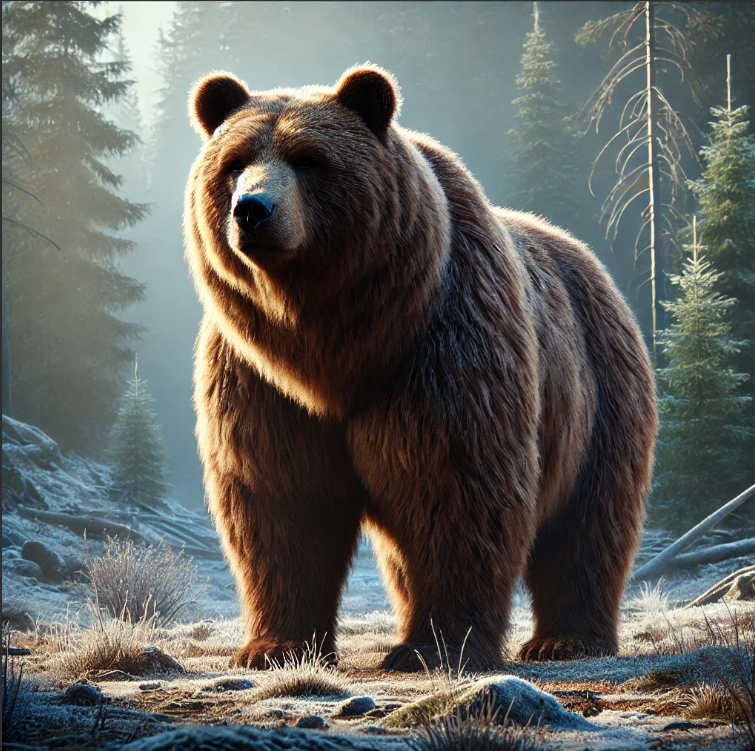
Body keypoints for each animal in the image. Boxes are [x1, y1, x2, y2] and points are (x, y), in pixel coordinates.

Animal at [184, 64, 657, 671]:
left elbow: (456, 487)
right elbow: (282, 504)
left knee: (587, 523)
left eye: (309, 158)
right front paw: (275, 648)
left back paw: (565, 639)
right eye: (235, 161)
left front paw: (436, 646)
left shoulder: (442, 350)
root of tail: (590, 260)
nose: (252, 209)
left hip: (597, 395)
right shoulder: (260, 382)